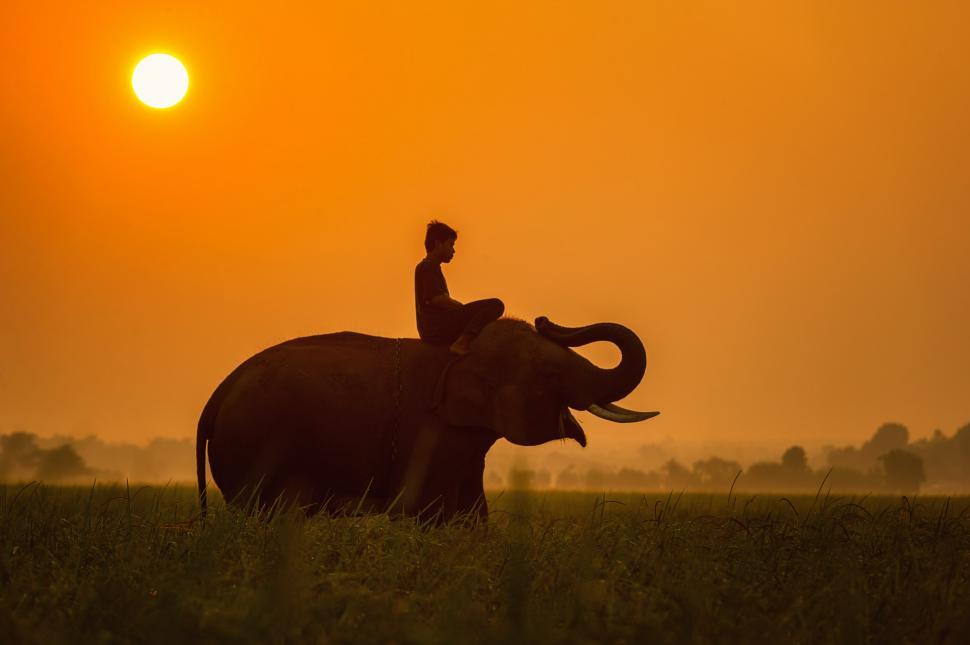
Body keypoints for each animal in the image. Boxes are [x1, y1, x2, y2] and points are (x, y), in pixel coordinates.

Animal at [196, 316, 658, 522]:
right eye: (550, 374)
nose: (545, 320)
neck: (463, 351)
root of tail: (216, 397)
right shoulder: (430, 432)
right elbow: (431, 511)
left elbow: (473, 513)